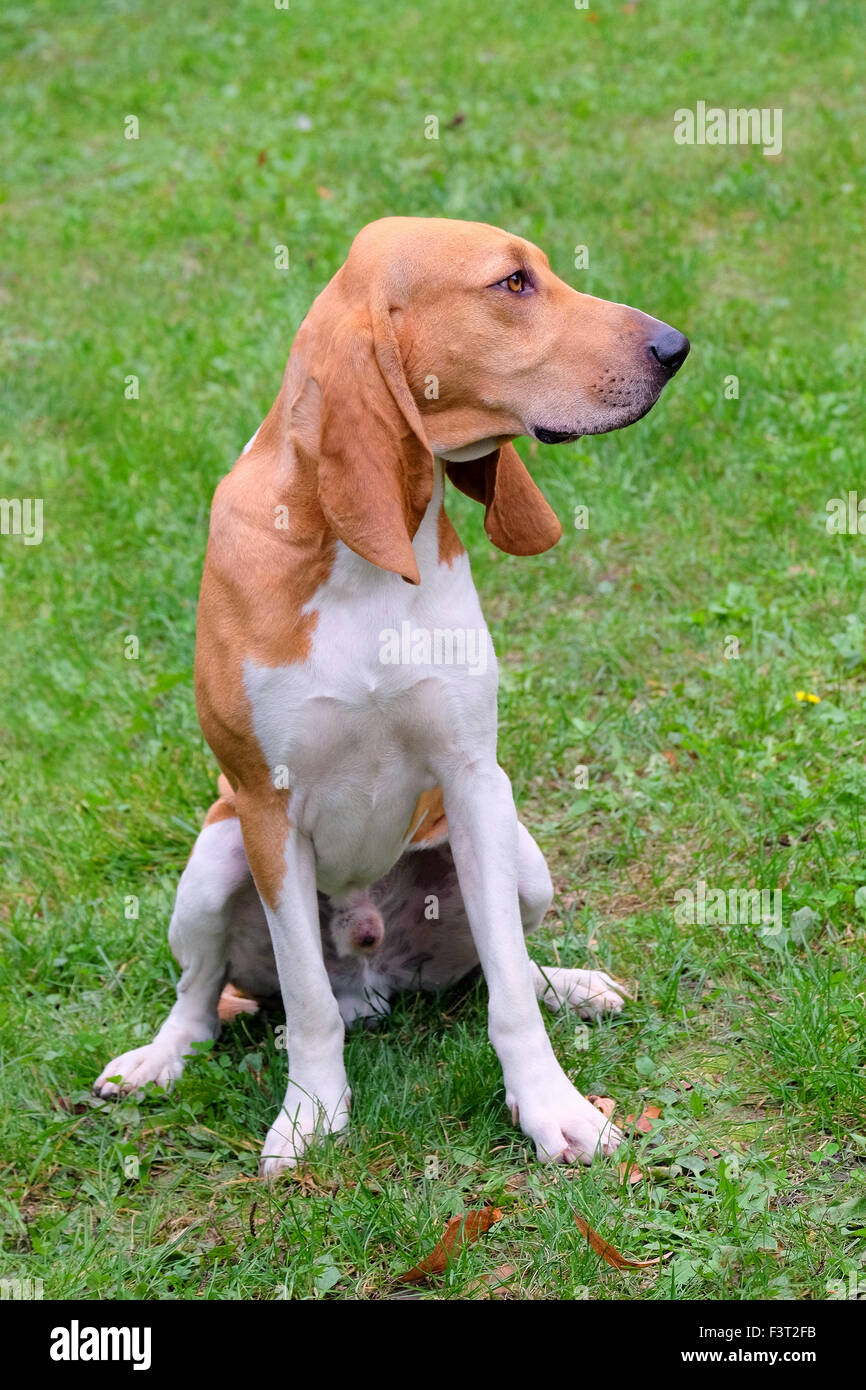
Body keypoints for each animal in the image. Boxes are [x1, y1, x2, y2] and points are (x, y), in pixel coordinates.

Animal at [94, 216, 692, 1173]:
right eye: (513, 283)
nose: (675, 347)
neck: (355, 560)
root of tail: (373, 977)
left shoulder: (473, 780)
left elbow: (508, 996)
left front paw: (551, 1107)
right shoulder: (265, 809)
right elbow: (306, 1004)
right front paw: (311, 1115)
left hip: (521, 857)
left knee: (512, 965)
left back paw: (570, 984)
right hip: (213, 862)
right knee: (203, 994)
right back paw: (160, 1057)